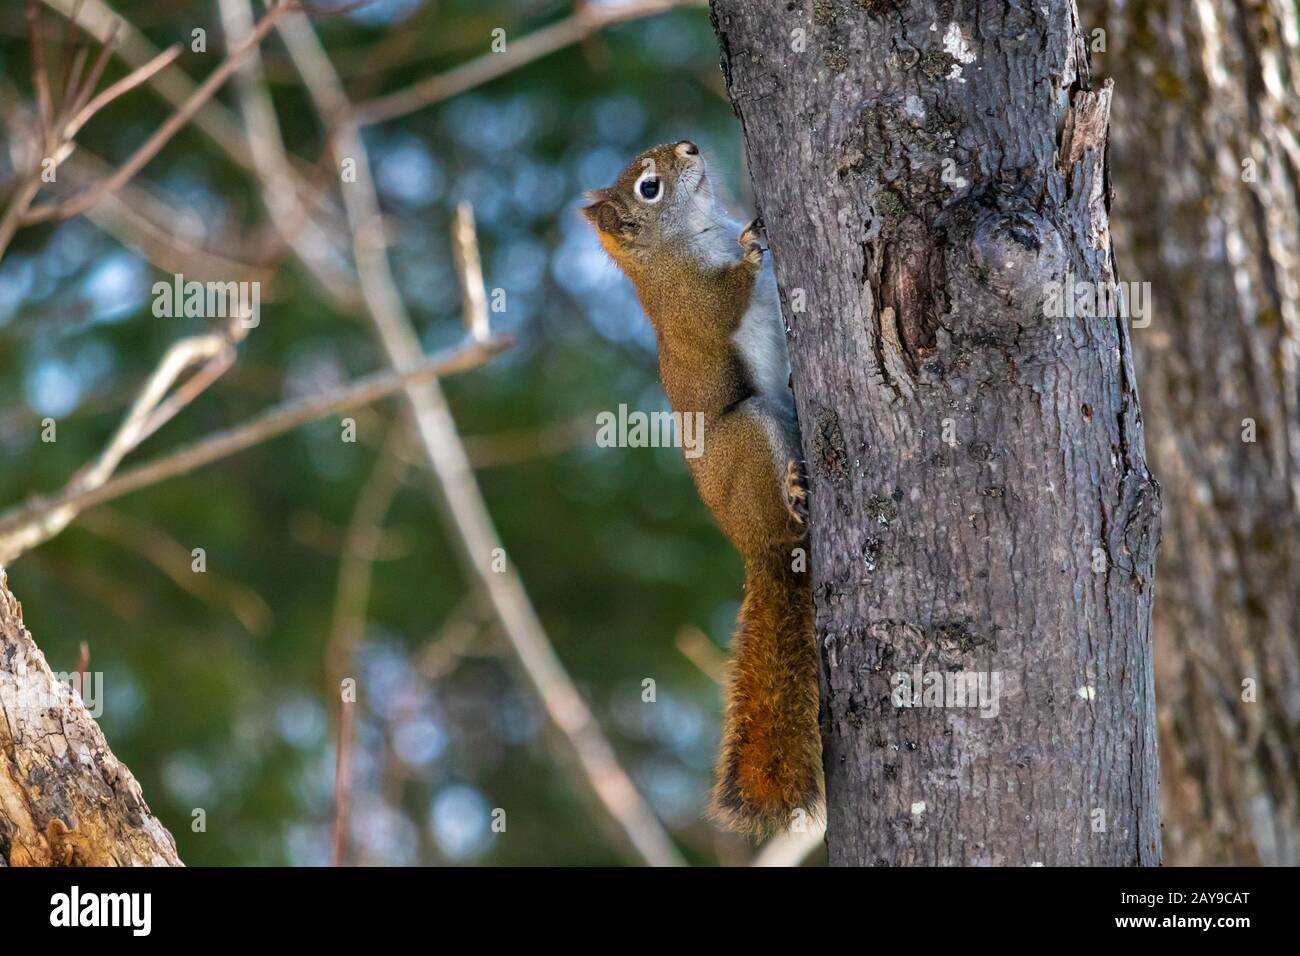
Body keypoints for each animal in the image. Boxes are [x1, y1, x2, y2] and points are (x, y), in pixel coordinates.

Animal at [582, 141, 823, 836]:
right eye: (650, 188)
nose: (690, 145)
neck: (689, 239)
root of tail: (758, 546)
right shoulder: (692, 305)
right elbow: (726, 300)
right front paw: (752, 247)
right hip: (752, 433)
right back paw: (795, 490)